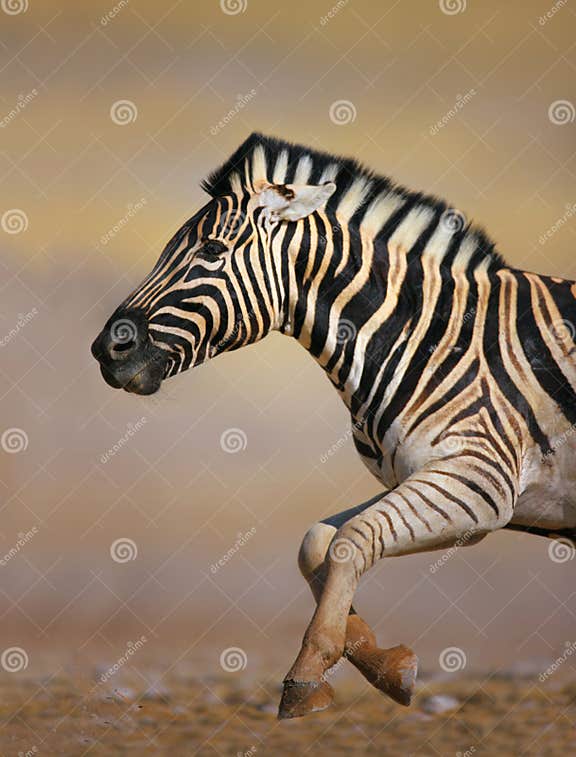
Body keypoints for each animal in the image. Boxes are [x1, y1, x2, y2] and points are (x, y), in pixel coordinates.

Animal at [92, 132, 576, 719]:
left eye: (211, 252)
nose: (106, 350)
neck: (432, 337)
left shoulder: (479, 481)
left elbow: (353, 538)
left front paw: (306, 672)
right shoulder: (436, 484)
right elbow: (319, 541)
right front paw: (381, 662)